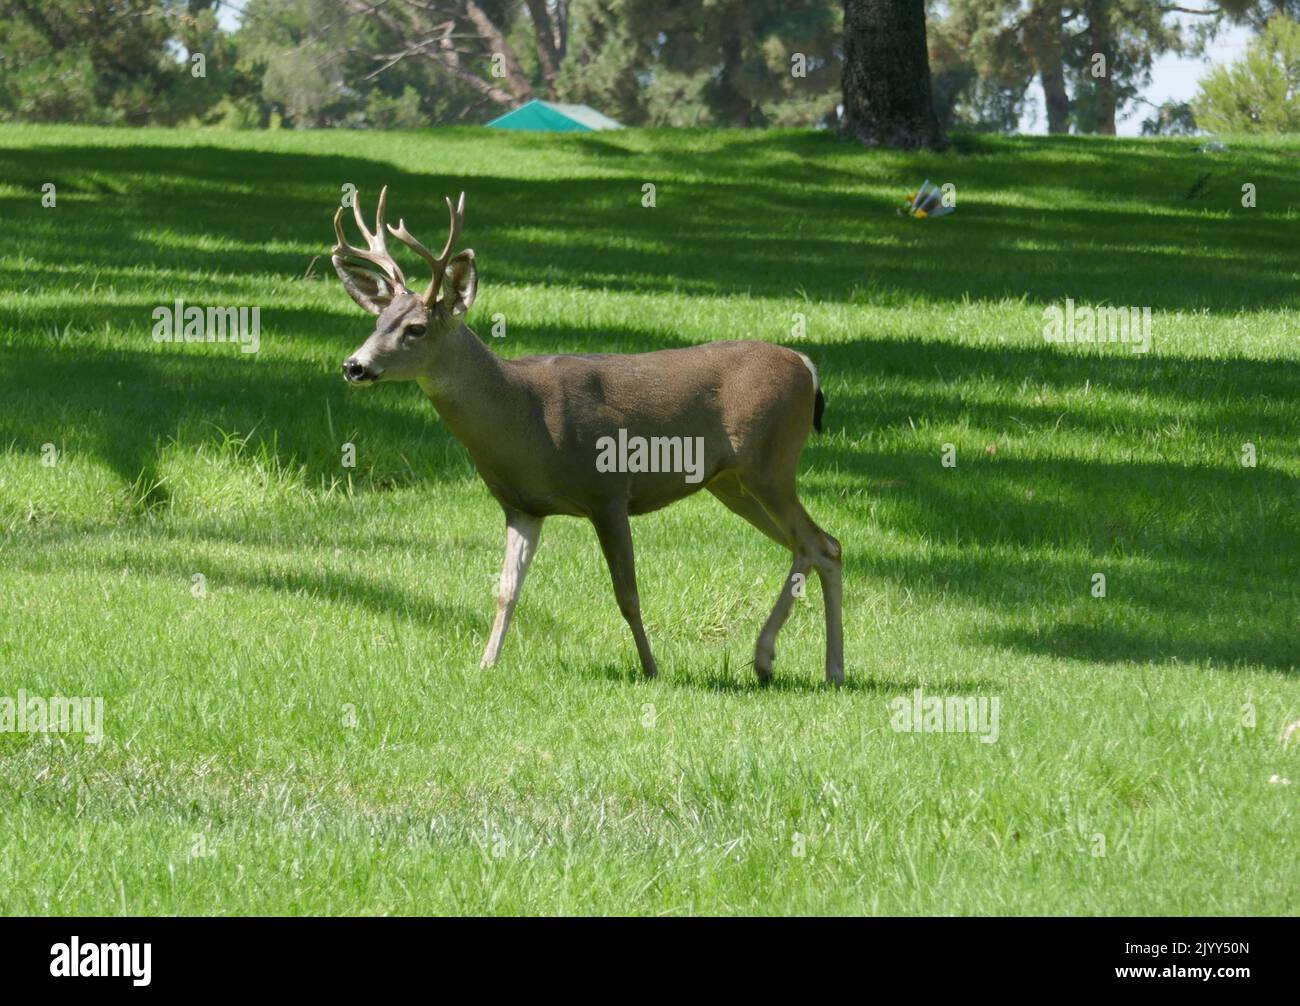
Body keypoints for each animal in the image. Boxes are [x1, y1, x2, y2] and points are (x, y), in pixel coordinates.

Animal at [331, 187, 844, 684]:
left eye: (416, 328)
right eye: (378, 322)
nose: (354, 365)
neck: (523, 415)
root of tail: (807, 366)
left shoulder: (608, 491)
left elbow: (627, 594)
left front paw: (652, 669)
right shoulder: (521, 507)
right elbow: (506, 590)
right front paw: (485, 664)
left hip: (771, 463)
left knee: (817, 543)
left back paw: (791, 662)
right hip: (731, 482)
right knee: (820, 546)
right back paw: (804, 665)